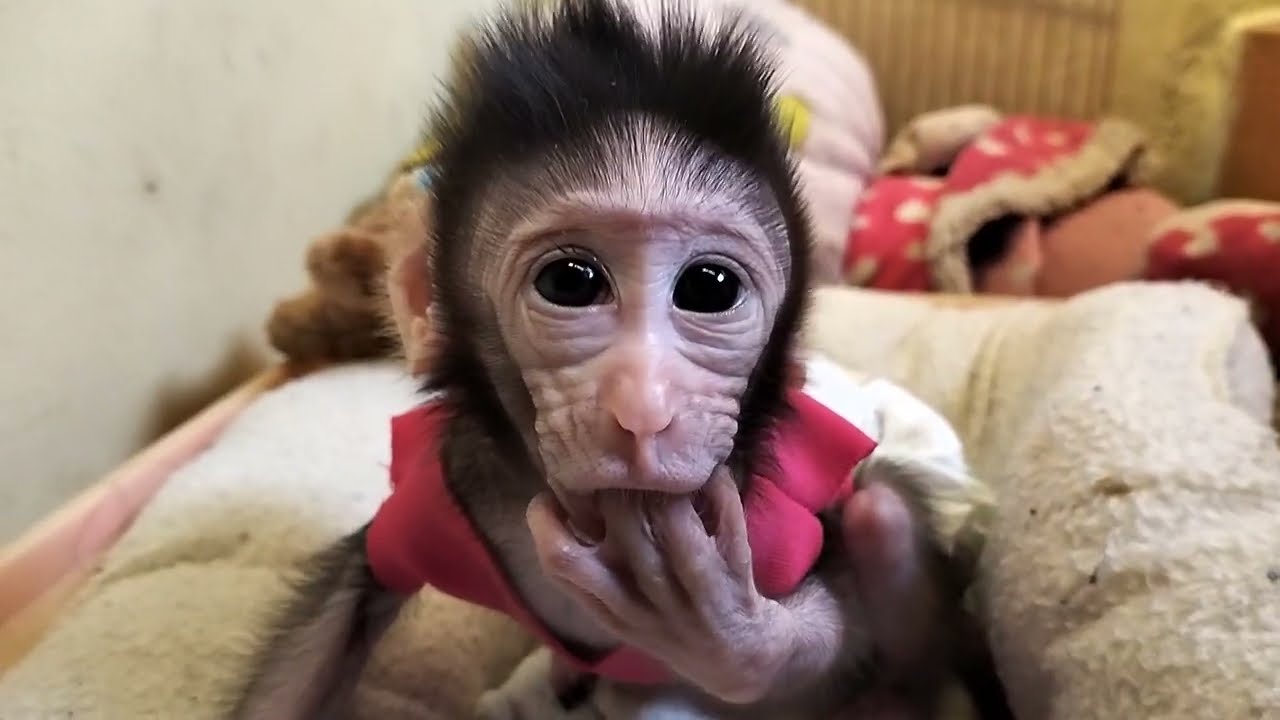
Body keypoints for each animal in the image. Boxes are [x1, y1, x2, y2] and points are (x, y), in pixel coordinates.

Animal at [232, 1, 1010, 718]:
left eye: (709, 288)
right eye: (570, 283)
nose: (645, 406)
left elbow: (836, 633)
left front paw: (722, 632)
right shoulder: (440, 498)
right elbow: (345, 604)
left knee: (884, 513)